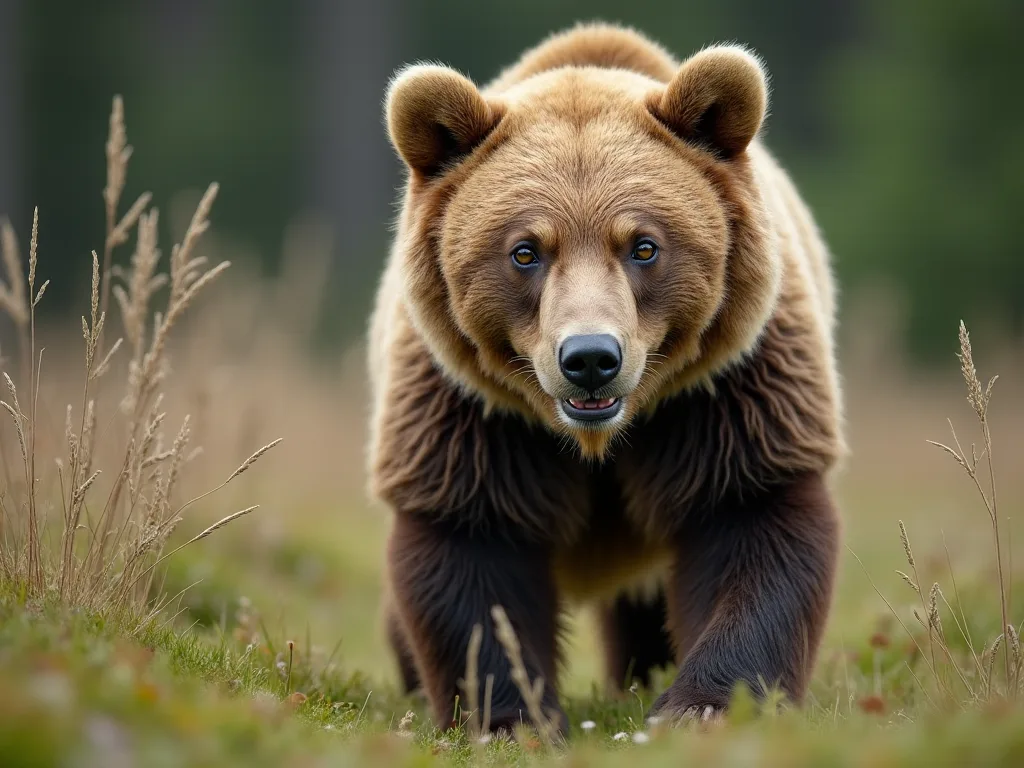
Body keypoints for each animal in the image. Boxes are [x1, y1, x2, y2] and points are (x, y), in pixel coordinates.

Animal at [368, 22, 843, 732]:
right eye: (526, 250)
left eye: (644, 245)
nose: (590, 357)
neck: (599, 440)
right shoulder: (468, 410)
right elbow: (471, 546)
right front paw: (513, 716)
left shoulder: (731, 389)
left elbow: (751, 518)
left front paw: (701, 705)